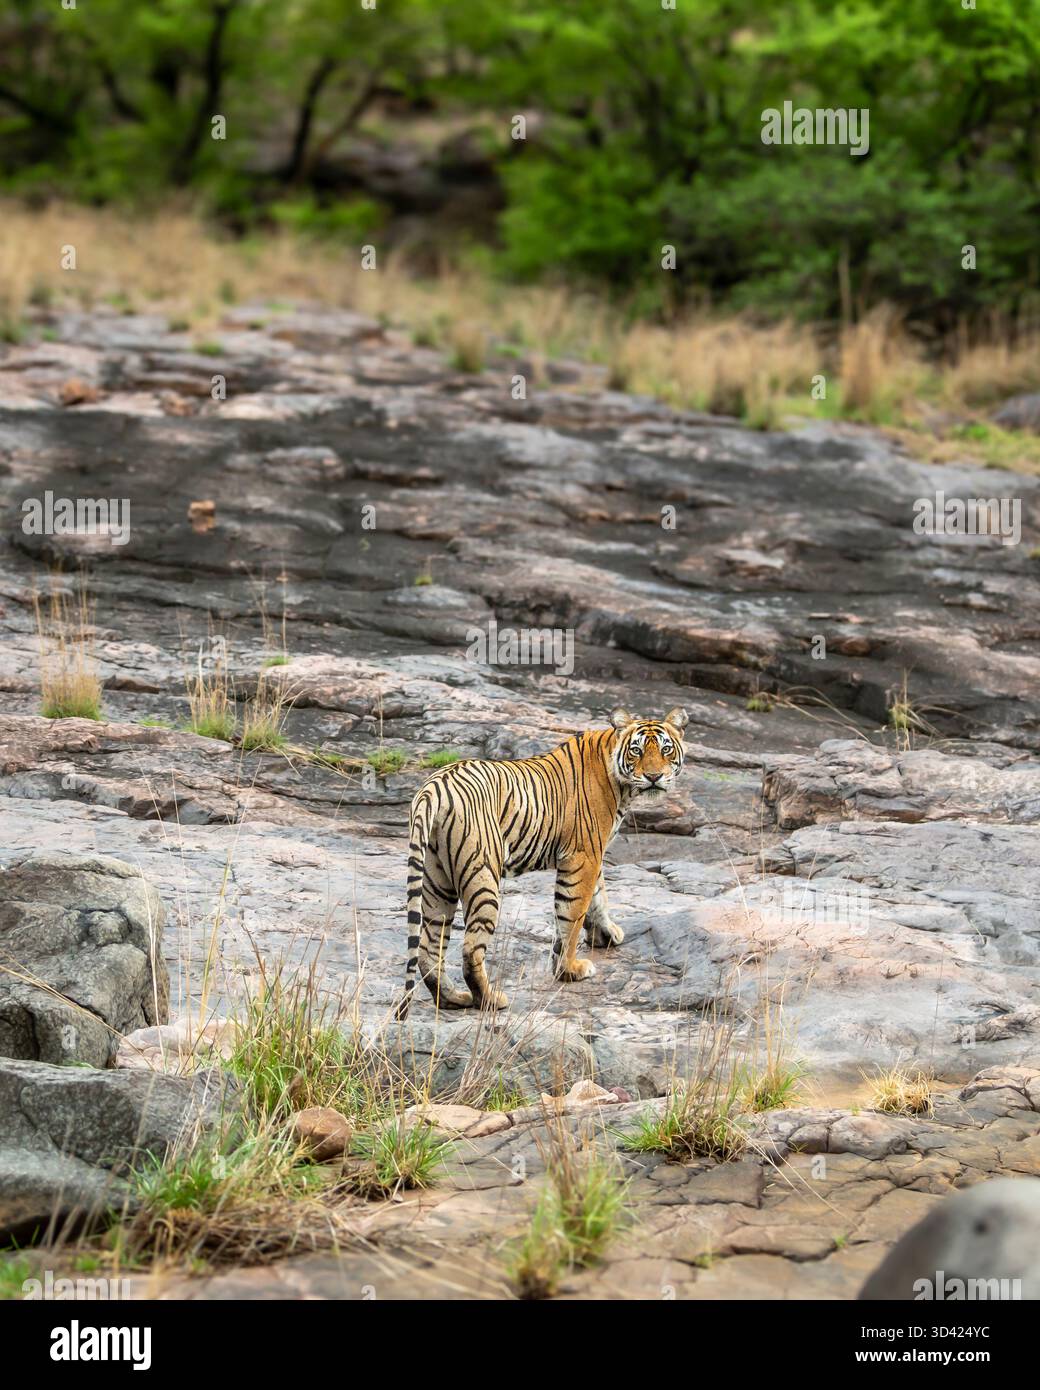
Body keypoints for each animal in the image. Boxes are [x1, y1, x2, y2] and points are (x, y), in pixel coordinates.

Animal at [395, 706, 688, 1018]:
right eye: (636, 750)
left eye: (666, 749)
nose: (654, 777)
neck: (620, 783)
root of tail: (433, 788)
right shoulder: (583, 855)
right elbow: (572, 914)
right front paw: (570, 970)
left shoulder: (593, 854)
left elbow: (598, 896)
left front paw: (606, 934)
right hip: (482, 876)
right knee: (470, 949)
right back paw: (491, 1000)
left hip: (436, 880)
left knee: (427, 949)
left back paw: (452, 998)